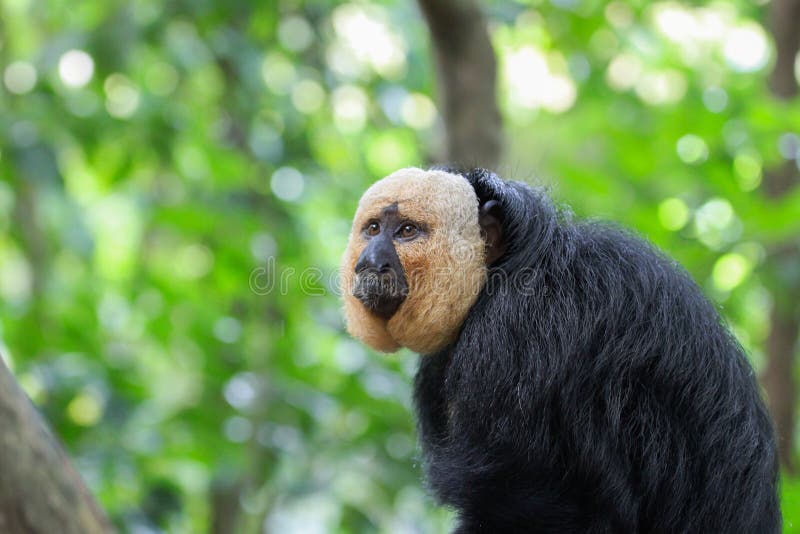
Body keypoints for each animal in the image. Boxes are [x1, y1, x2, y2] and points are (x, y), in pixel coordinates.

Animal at [341, 167, 780, 533]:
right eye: (373, 228)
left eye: (407, 231)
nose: (370, 262)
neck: (502, 271)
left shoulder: (516, 333)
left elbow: (523, 494)